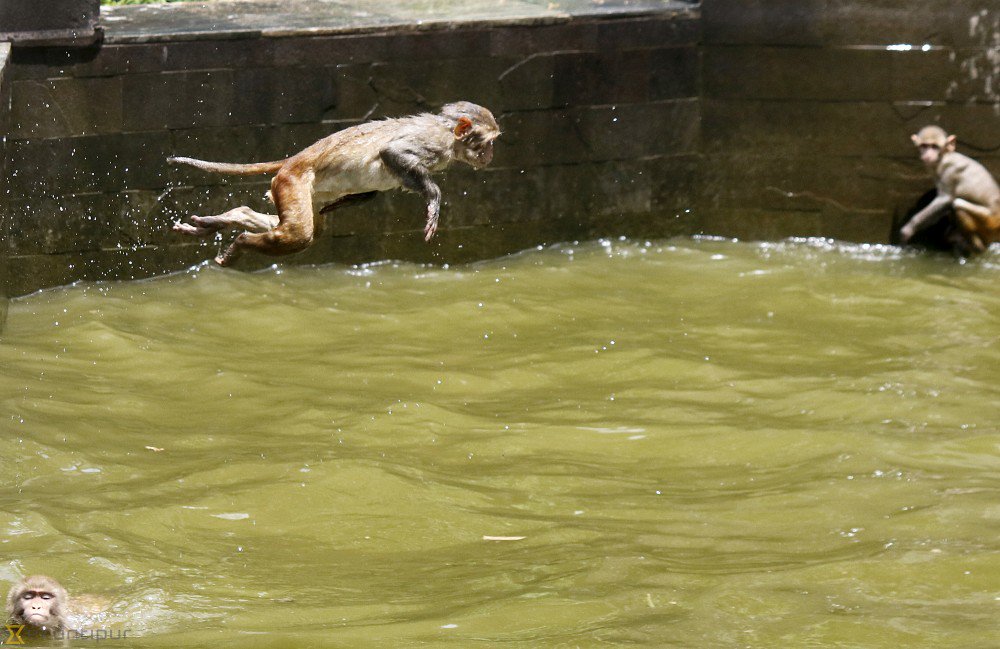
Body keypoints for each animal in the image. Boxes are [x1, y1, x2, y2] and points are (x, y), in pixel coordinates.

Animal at [169, 101, 501, 266]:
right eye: (488, 142)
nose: (490, 155)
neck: (449, 136)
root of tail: (296, 159)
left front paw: (353, 200)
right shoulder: (433, 144)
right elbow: (391, 152)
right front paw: (433, 200)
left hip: (300, 190)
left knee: (306, 228)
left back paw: (231, 218)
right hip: (291, 182)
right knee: (301, 234)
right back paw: (239, 242)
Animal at [899, 125, 1000, 254]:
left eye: (934, 147)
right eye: (924, 146)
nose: (928, 154)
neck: (944, 156)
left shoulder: (949, 171)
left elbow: (945, 199)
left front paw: (909, 228)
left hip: (990, 221)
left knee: (957, 203)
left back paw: (976, 246)